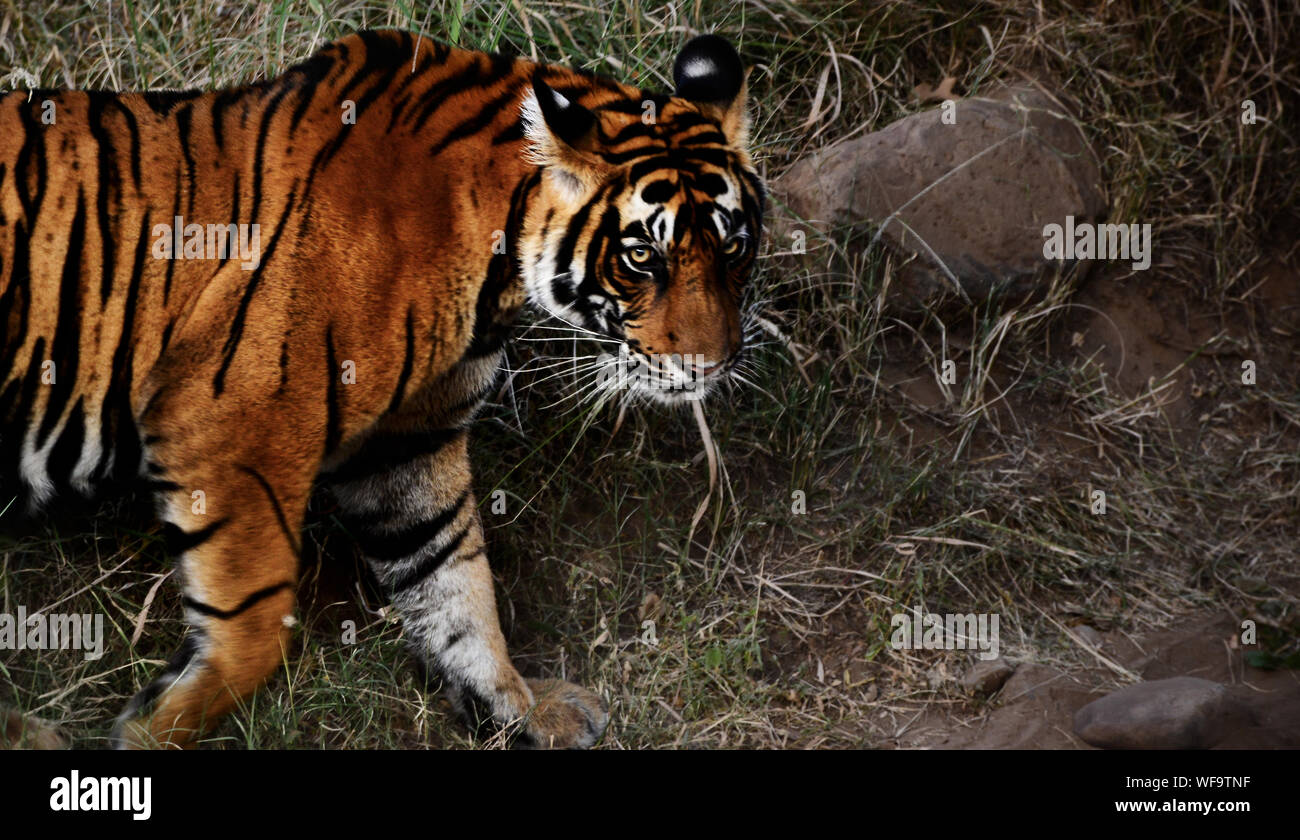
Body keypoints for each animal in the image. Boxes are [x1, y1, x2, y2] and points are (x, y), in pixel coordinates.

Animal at [0, 28, 764, 748]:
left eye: (733, 246)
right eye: (641, 255)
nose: (712, 364)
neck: (498, 260)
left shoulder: (406, 440)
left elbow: (454, 582)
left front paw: (518, 709)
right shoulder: (237, 422)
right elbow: (255, 626)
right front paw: (151, 729)